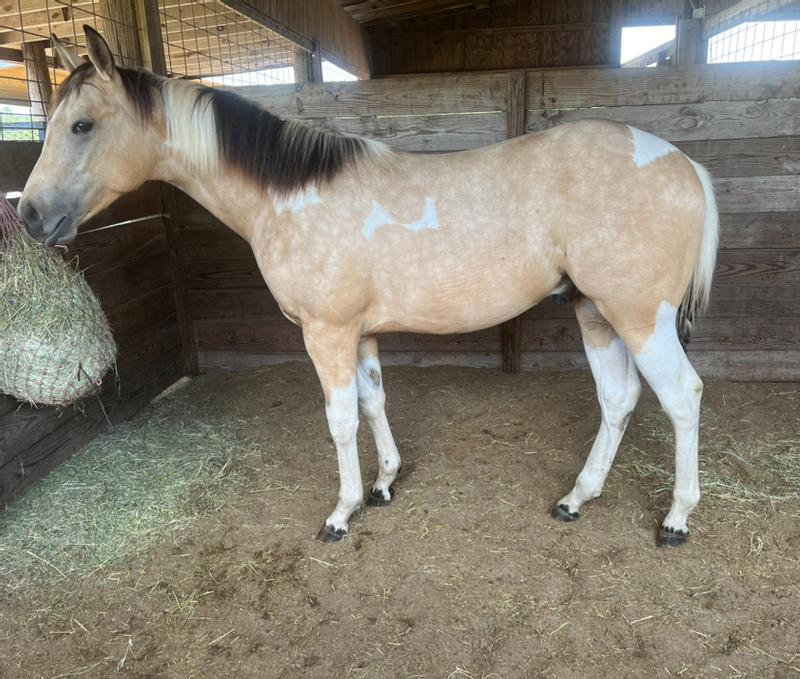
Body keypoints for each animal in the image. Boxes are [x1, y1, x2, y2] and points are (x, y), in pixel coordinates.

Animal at [19, 26, 718, 547]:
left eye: (81, 125)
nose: (27, 215)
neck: (290, 195)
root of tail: (685, 164)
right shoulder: (360, 334)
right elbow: (374, 402)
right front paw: (384, 483)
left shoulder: (326, 334)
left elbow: (339, 419)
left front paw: (342, 510)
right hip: (596, 313)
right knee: (619, 400)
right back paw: (578, 497)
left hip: (639, 319)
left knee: (681, 397)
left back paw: (677, 518)